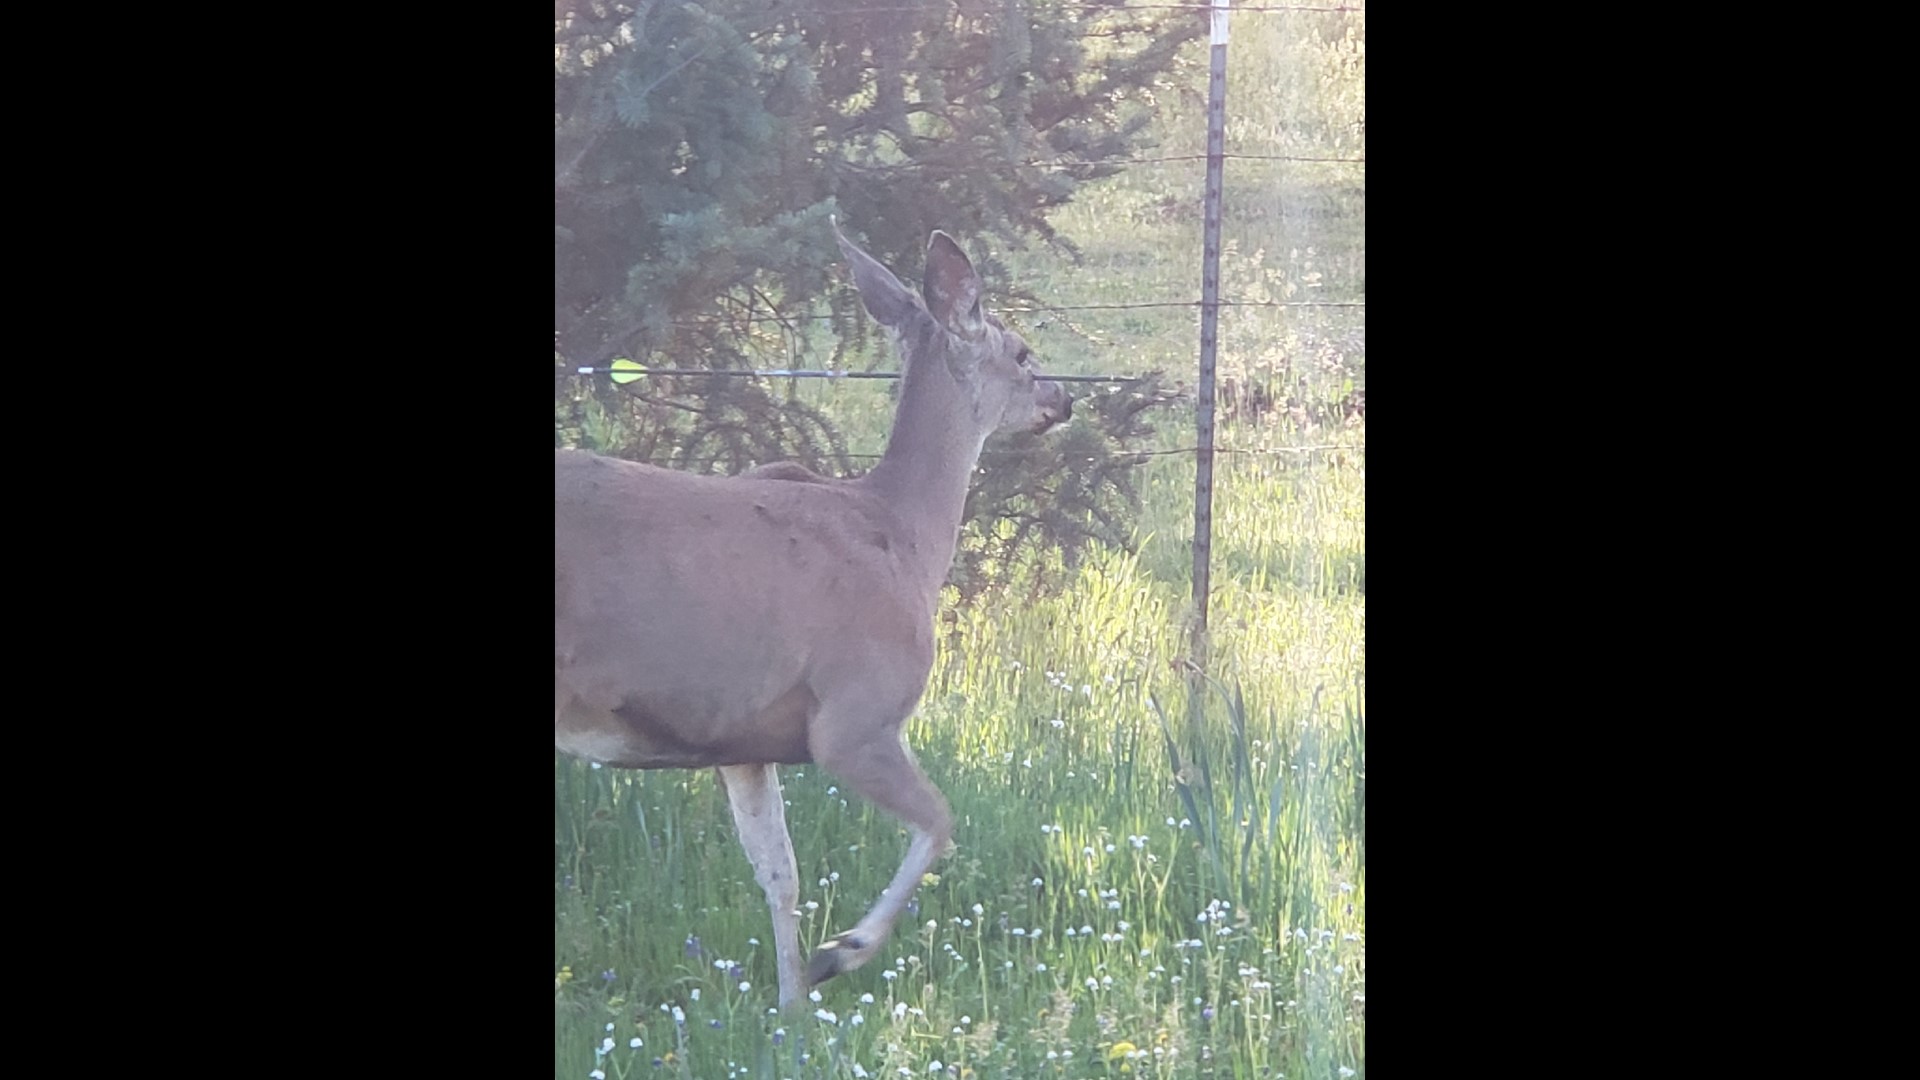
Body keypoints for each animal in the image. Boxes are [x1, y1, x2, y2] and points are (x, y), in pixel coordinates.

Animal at [555, 219, 1072, 1012]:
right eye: (1021, 352)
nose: (1063, 399)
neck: (905, 536)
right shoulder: (854, 713)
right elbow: (940, 819)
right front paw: (840, 953)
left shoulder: (742, 744)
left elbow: (780, 872)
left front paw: (793, 1003)